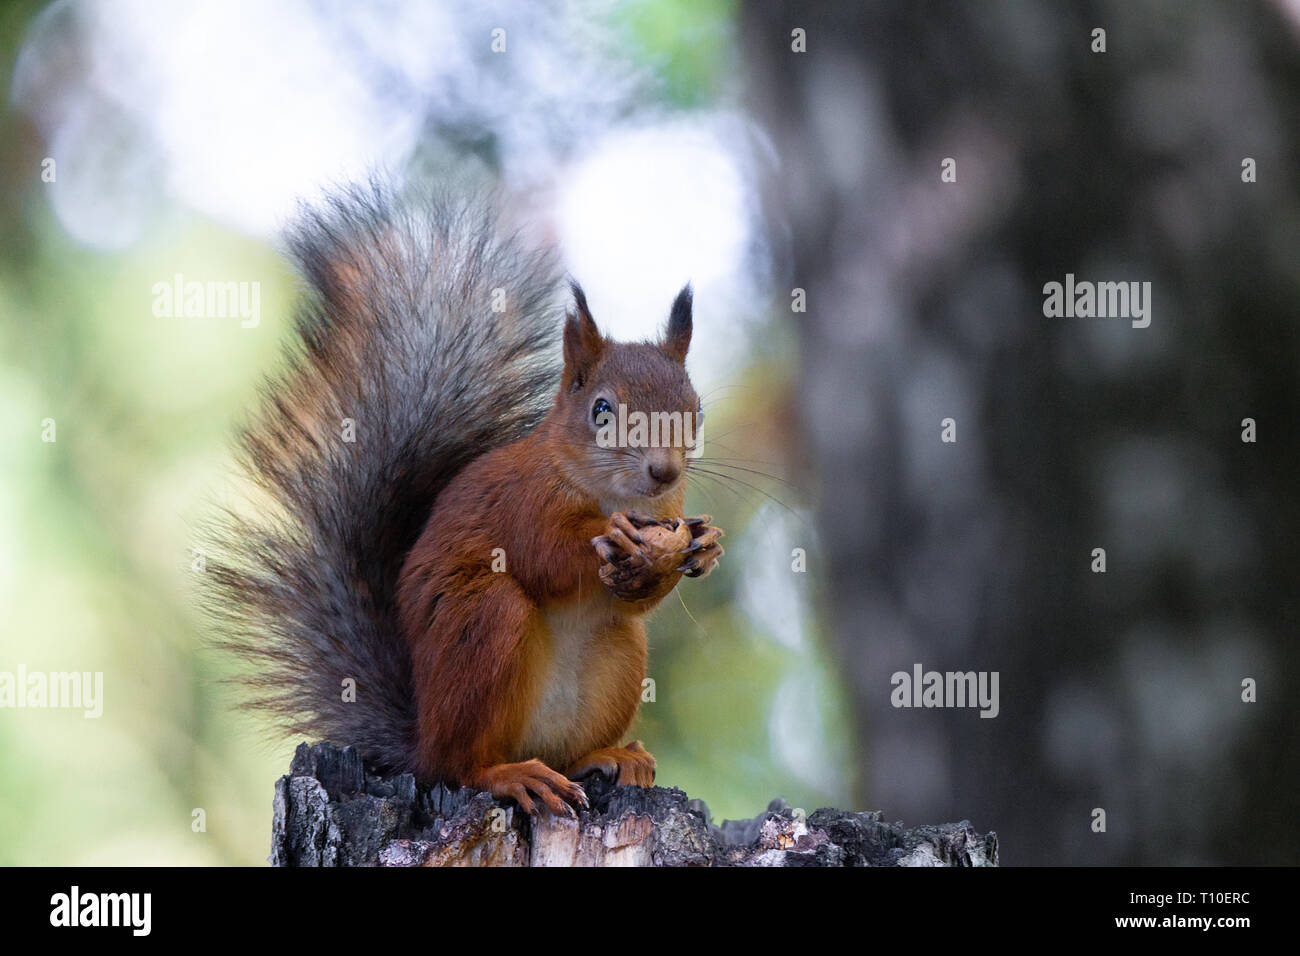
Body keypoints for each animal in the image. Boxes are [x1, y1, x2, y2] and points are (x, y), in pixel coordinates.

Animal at [207, 182, 724, 816]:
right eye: (601, 410)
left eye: (696, 411)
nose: (664, 471)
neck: (610, 494)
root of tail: (421, 739)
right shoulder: (523, 502)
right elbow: (544, 555)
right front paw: (615, 538)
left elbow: (639, 597)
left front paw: (705, 546)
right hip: (482, 623)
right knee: (459, 765)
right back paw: (509, 775)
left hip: (617, 654)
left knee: (573, 736)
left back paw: (609, 756)